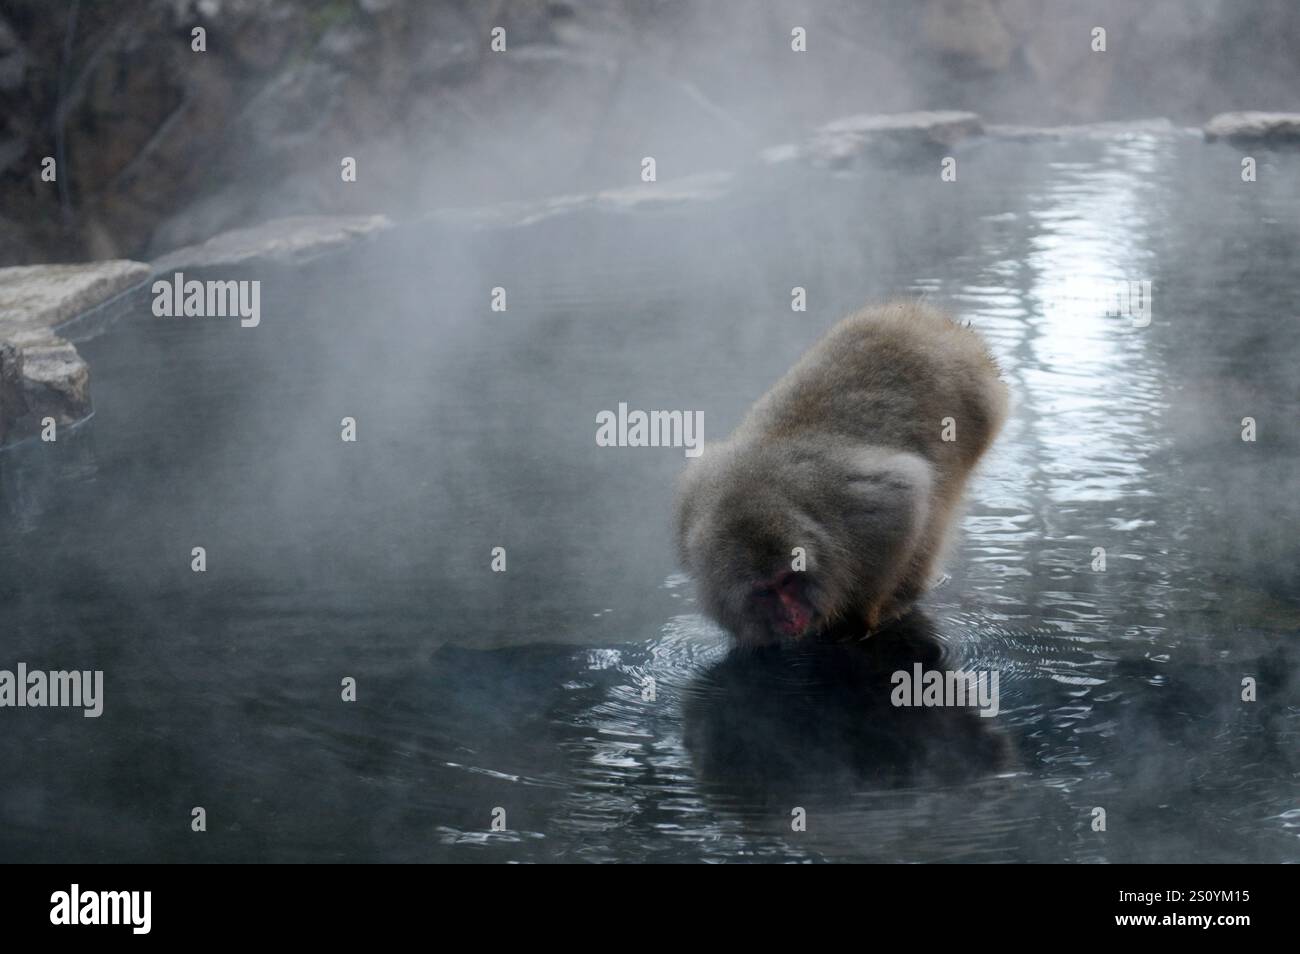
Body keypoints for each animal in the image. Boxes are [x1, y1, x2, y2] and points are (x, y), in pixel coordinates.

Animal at [674, 301, 1008, 646]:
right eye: (765, 591)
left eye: (788, 580)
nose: (791, 617)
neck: (754, 494)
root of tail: (928, 320)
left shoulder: (857, 509)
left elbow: (905, 495)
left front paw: (858, 616)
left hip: (974, 411)